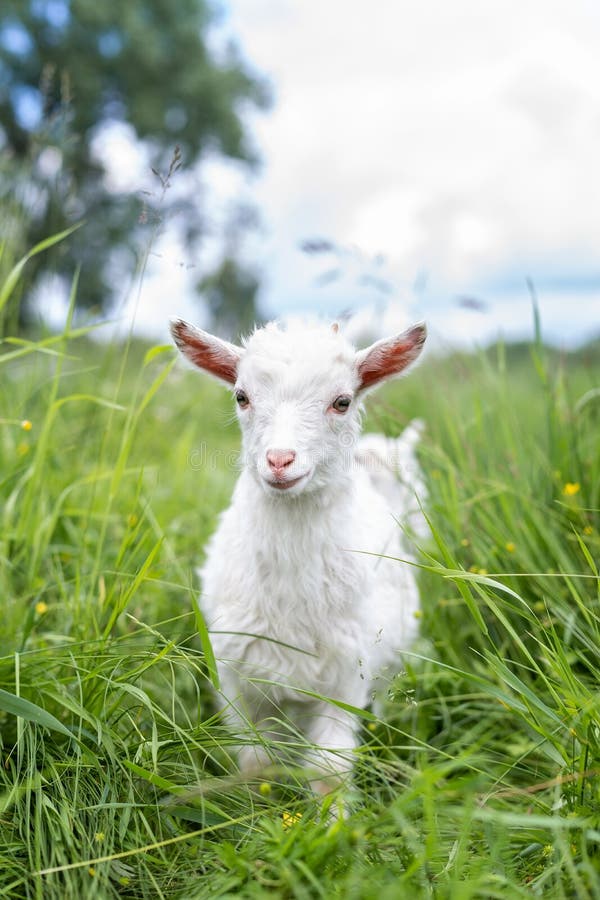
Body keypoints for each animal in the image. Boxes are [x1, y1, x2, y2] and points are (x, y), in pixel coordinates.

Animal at [170, 318, 427, 795]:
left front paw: (334, 815)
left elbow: (329, 769)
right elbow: (255, 763)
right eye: (241, 396)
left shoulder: (346, 675)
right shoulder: (239, 679)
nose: (279, 461)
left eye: (342, 401)